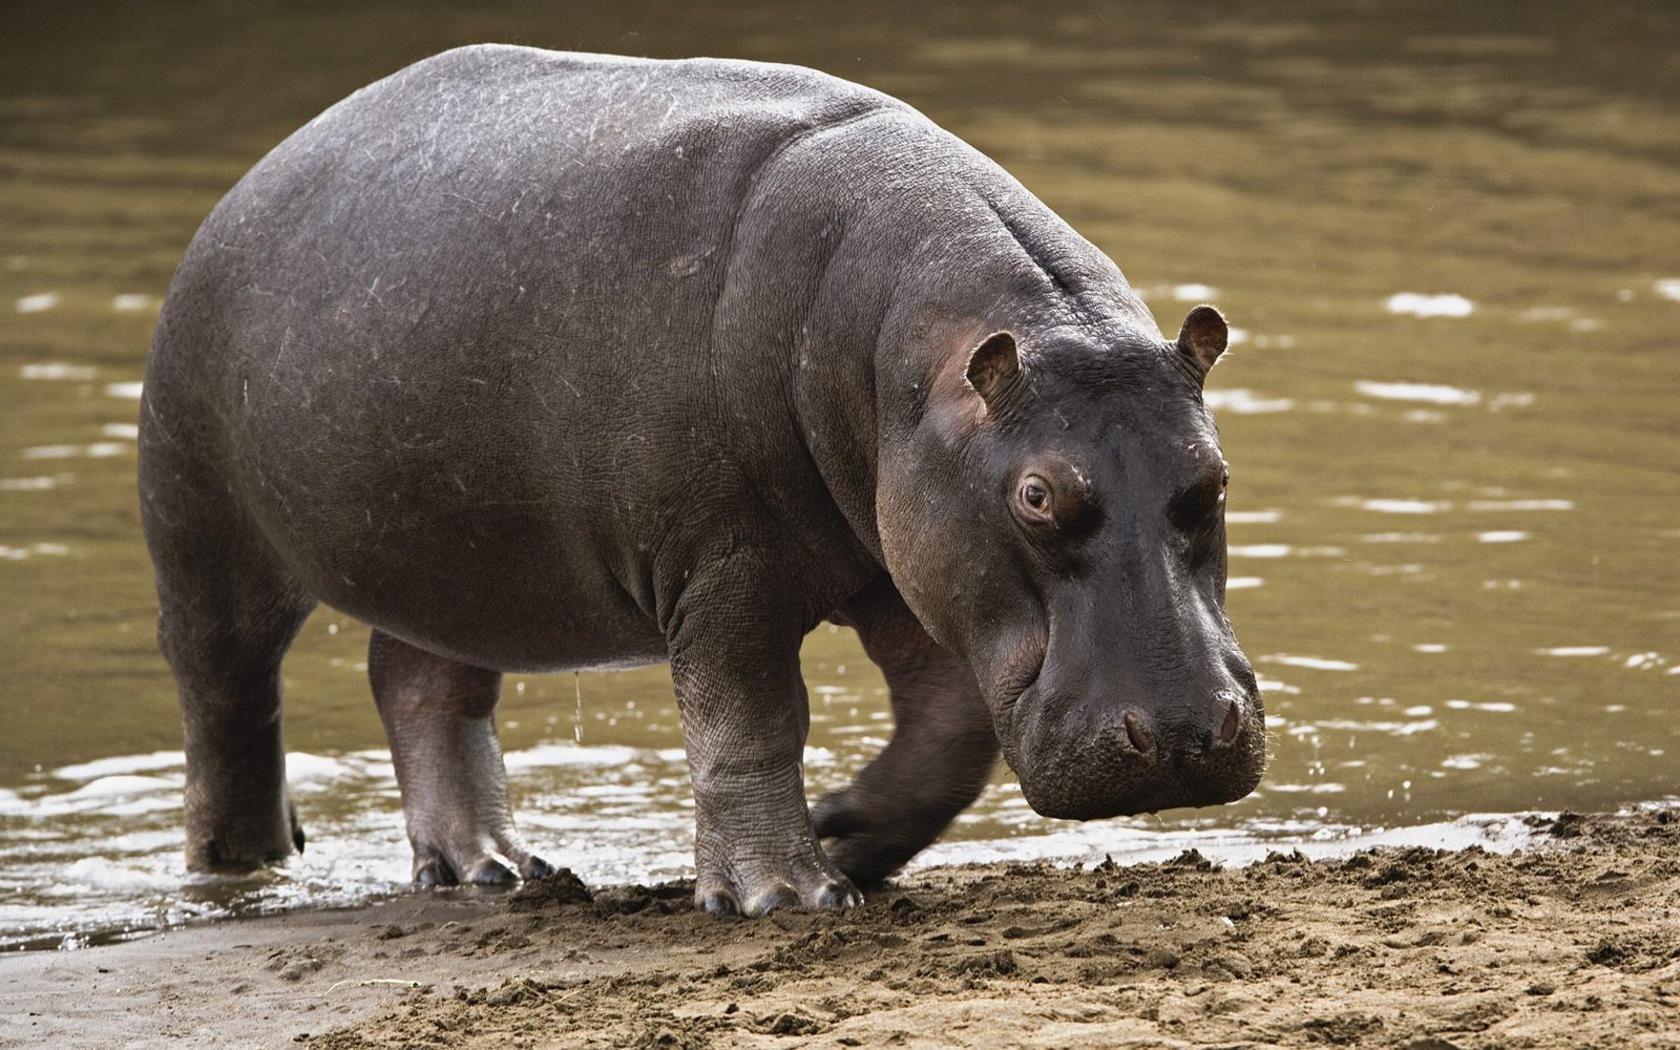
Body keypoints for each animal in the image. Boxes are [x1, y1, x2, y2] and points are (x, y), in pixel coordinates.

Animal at [138, 45, 1265, 917]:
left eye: (1212, 478)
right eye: (1037, 496)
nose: (1180, 735)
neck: (914, 360)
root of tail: (253, 179)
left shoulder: (907, 564)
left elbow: (949, 734)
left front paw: (842, 834)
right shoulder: (724, 567)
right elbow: (750, 722)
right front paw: (785, 896)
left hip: (452, 560)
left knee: (420, 685)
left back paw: (491, 869)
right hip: (204, 533)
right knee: (226, 706)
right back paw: (242, 871)